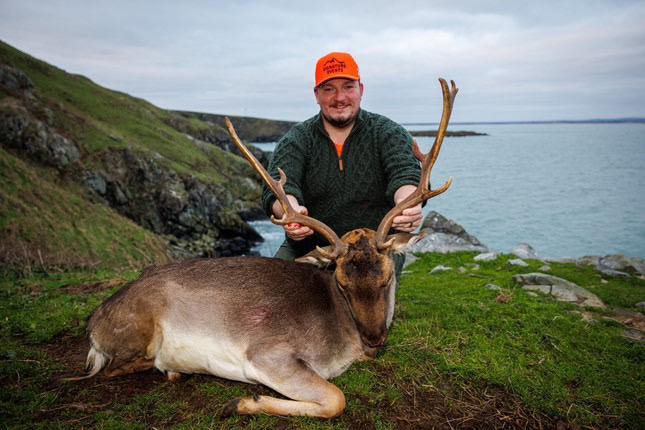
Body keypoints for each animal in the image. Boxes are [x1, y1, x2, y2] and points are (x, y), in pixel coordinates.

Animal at [69, 79, 458, 418]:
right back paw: (176, 368)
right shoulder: (267, 352)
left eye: (388, 277)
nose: (375, 340)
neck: (341, 338)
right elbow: (336, 398)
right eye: (342, 283)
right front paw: (243, 402)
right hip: (138, 330)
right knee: (112, 368)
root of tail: (94, 326)